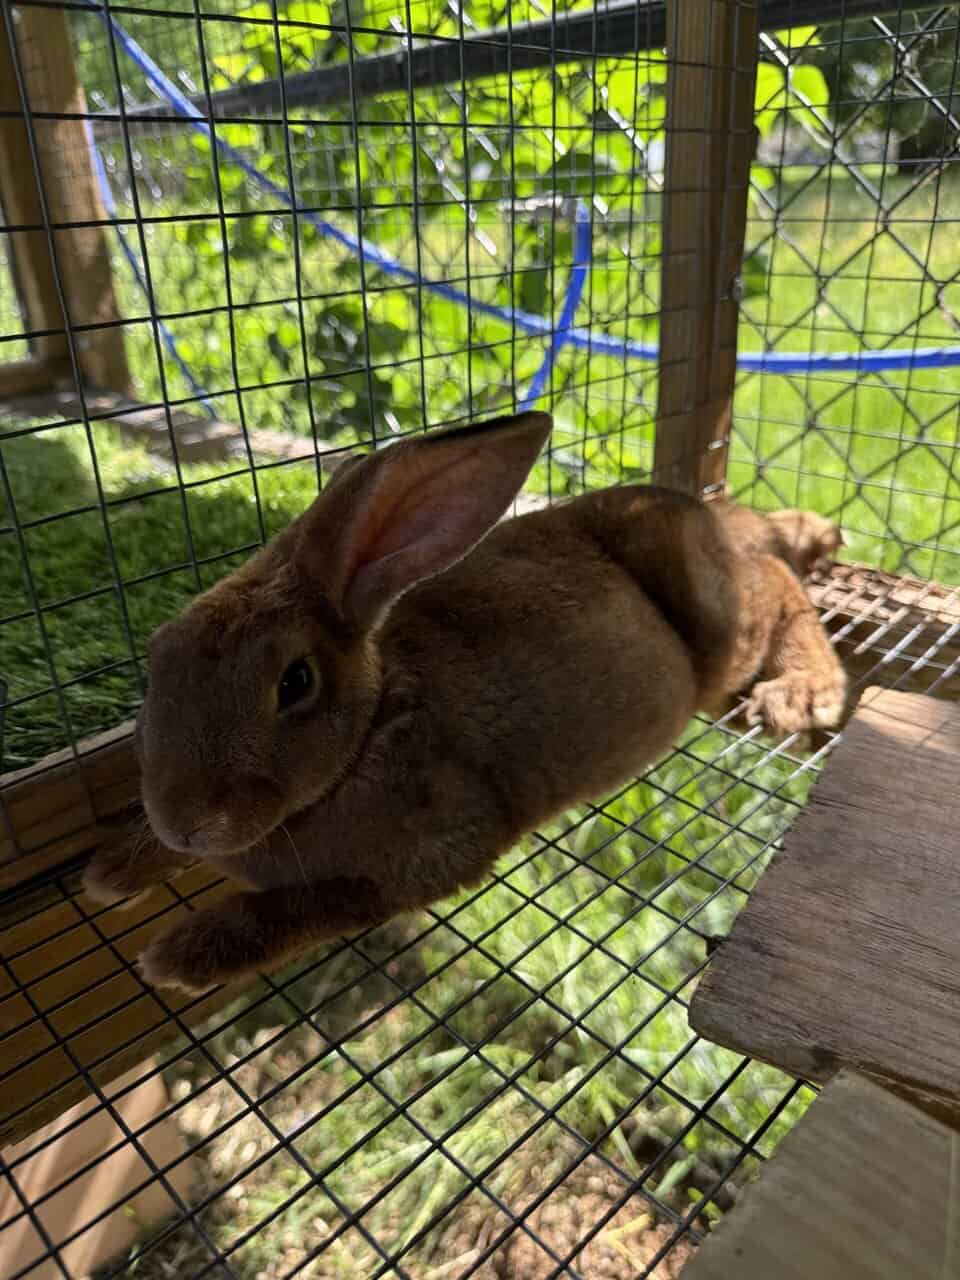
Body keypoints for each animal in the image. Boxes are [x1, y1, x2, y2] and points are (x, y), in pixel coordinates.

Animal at [82, 410, 846, 993]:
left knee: (776, 584)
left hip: (719, 628)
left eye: (295, 682)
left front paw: (176, 957)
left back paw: (801, 687)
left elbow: (305, 906)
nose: (183, 823)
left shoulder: (428, 858)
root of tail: (719, 518)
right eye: (159, 654)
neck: (368, 731)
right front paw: (113, 871)